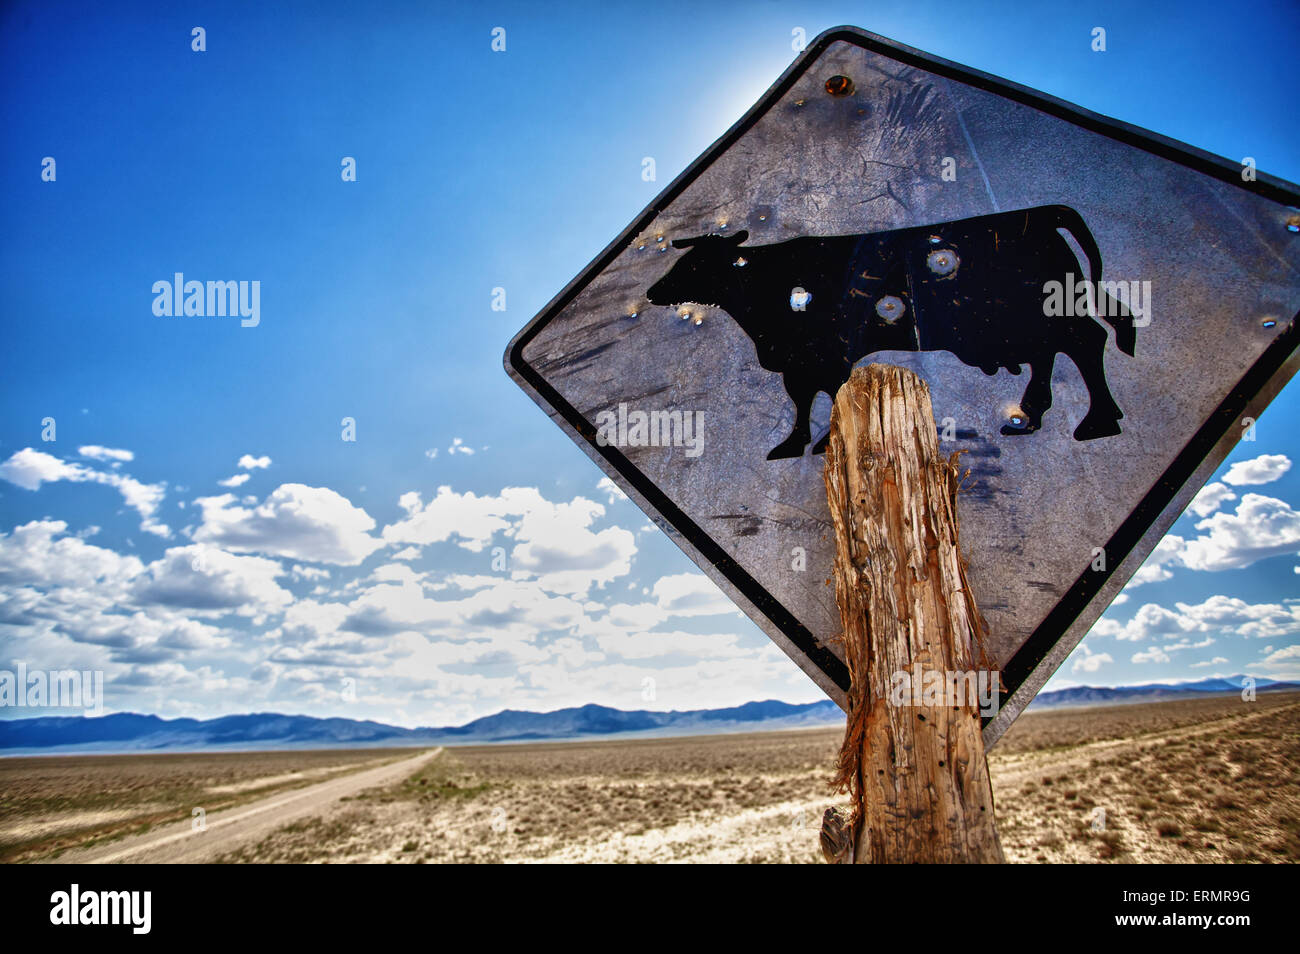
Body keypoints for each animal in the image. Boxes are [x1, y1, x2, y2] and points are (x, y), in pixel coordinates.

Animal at [646, 205, 1136, 460]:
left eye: (695, 264)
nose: (651, 291)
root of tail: (1044, 213)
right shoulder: (797, 361)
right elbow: (802, 401)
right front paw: (793, 444)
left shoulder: (827, 355)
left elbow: (829, 396)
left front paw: (825, 442)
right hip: (1029, 323)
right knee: (1049, 356)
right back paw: (1032, 417)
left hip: (1046, 313)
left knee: (1086, 343)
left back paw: (1098, 420)